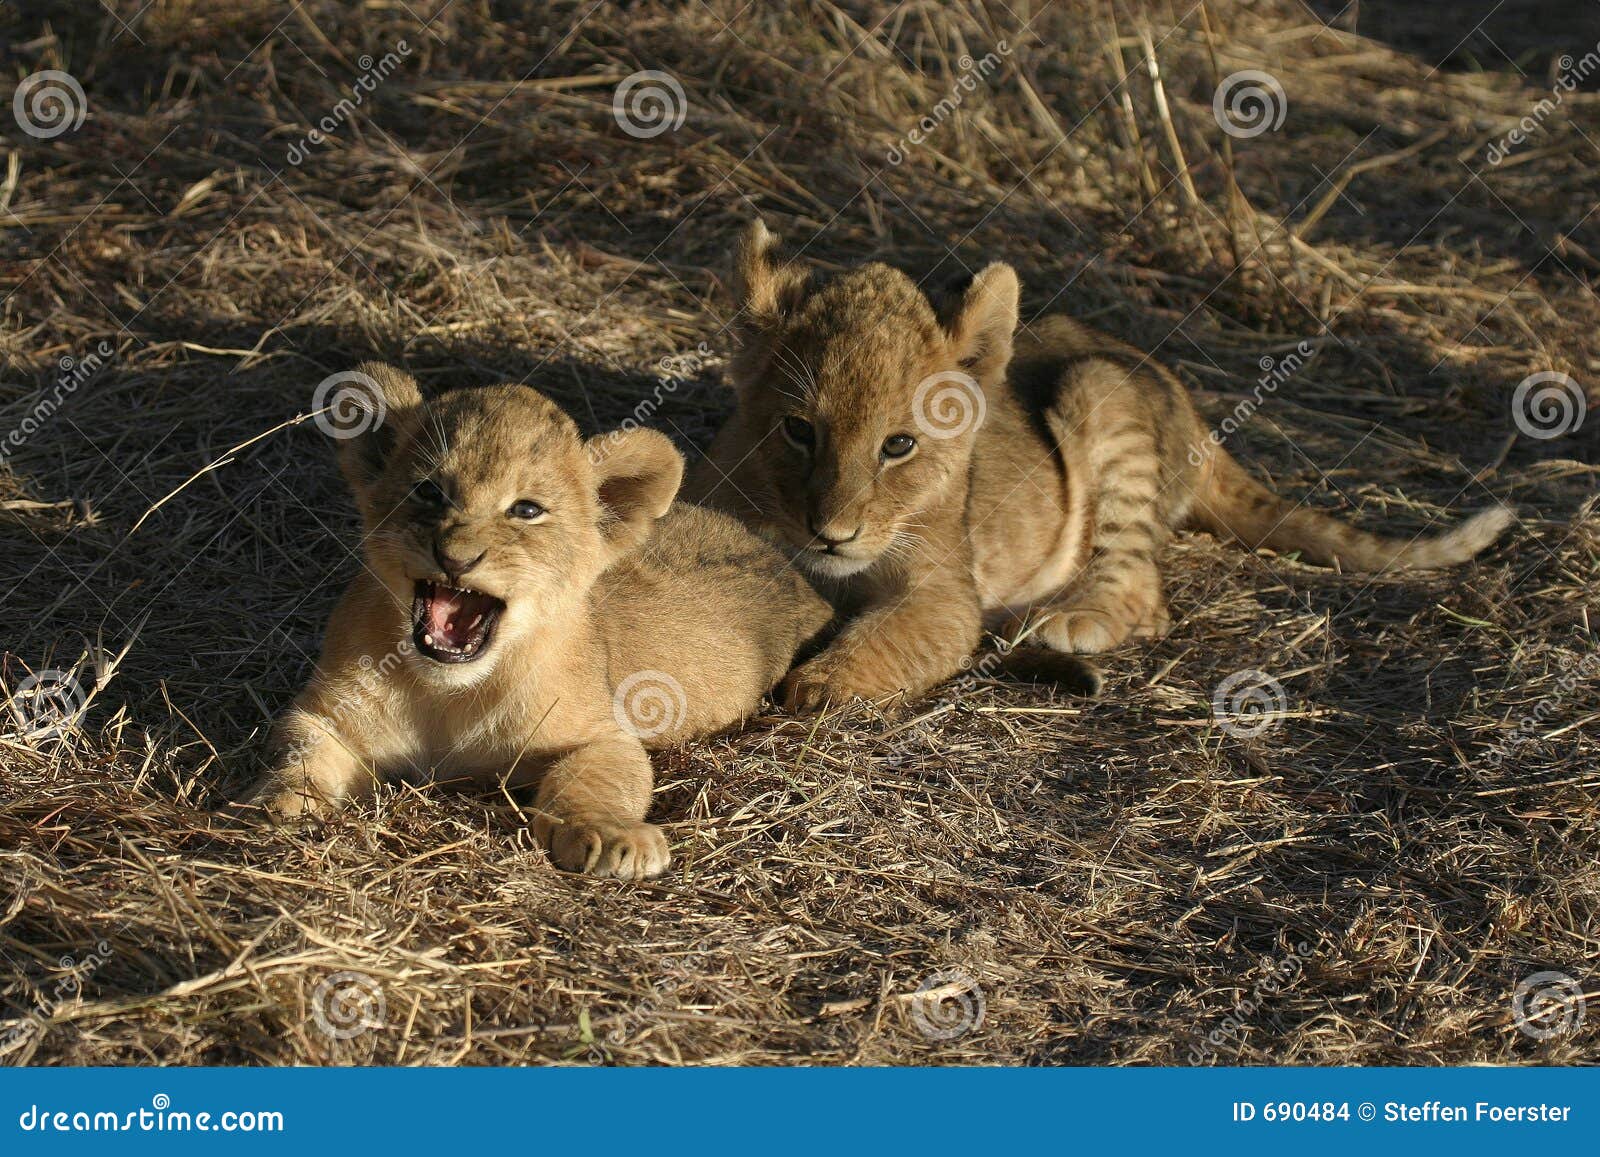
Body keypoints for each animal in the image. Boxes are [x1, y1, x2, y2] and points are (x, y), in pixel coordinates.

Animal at [242, 362, 832, 878]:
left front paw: (611, 837)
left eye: (526, 511)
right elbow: (299, 753)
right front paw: (276, 803)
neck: (447, 693)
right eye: (429, 490)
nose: (455, 556)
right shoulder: (325, 713)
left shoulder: (603, 732)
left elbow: (596, 780)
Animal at [685, 221, 1512, 710]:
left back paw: (1061, 619)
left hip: (1101, 391)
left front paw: (816, 682)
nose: (831, 532)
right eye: (799, 430)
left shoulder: (944, 590)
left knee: (1145, 592)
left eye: (898, 445)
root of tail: (1194, 410)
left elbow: (896, 636)